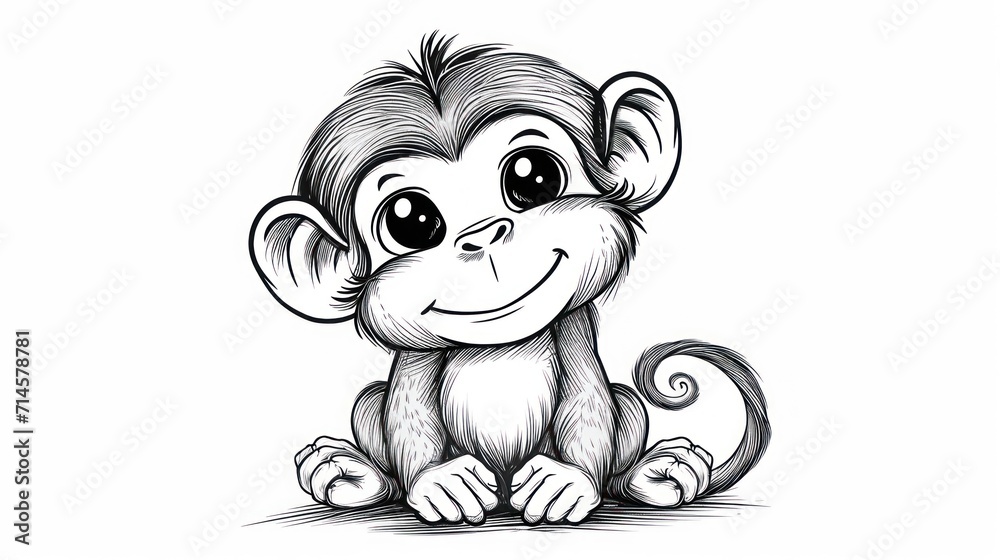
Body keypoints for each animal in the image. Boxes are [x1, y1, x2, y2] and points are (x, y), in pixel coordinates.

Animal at [249, 33, 770, 525]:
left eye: (533, 177)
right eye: (410, 220)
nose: (482, 237)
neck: (499, 345)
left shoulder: (572, 322)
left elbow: (588, 396)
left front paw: (568, 482)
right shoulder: (417, 351)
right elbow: (407, 408)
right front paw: (437, 483)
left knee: (626, 405)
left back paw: (660, 475)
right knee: (370, 405)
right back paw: (348, 475)